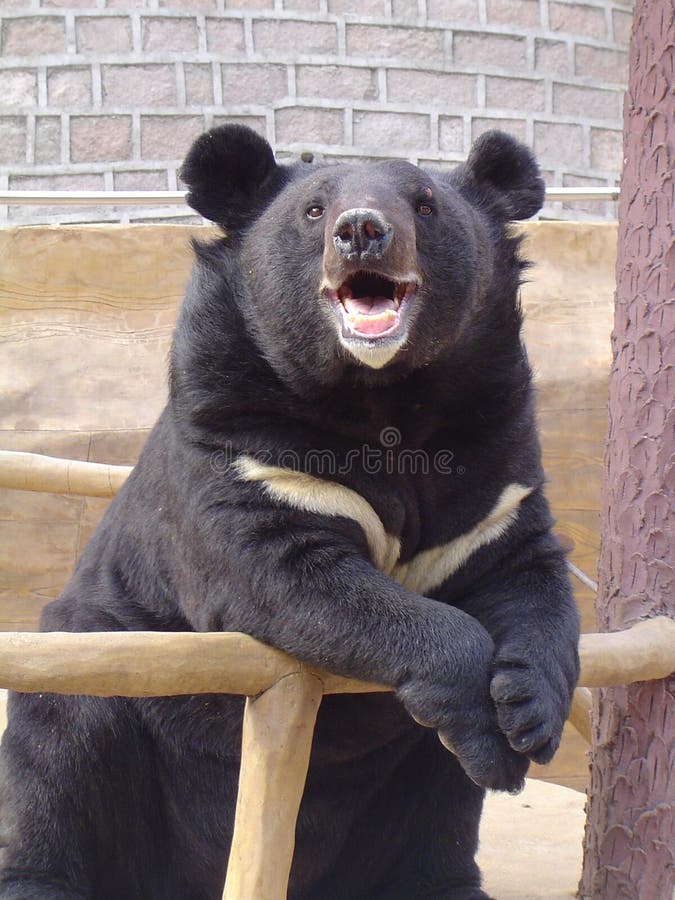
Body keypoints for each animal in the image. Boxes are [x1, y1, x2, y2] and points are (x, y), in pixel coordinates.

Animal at [0, 125, 580, 899]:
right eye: (314, 209)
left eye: (424, 204)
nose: (362, 231)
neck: (383, 394)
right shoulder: (246, 444)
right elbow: (286, 567)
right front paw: (489, 736)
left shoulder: (493, 461)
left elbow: (527, 571)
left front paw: (525, 719)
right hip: (104, 671)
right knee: (57, 754)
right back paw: (40, 878)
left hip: (394, 784)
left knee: (440, 805)